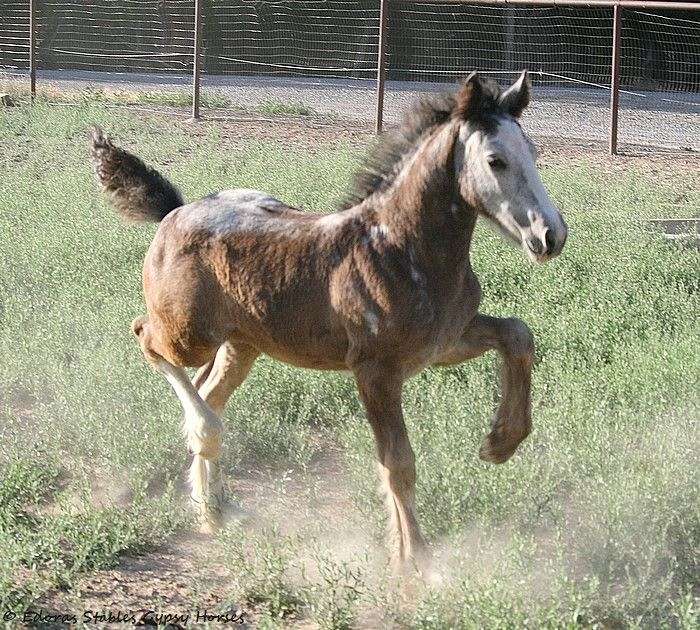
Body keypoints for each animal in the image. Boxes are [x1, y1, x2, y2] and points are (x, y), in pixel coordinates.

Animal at [90, 71, 567, 575]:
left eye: (533, 152)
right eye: (495, 160)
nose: (550, 234)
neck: (402, 247)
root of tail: (174, 212)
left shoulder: (444, 343)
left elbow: (517, 333)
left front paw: (500, 442)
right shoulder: (376, 370)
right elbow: (398, 463)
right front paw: (414, 563)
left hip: (242, 344)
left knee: (207, 391)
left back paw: (214, 508)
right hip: (190, 334)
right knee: (147, 338)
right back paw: (206, 445)